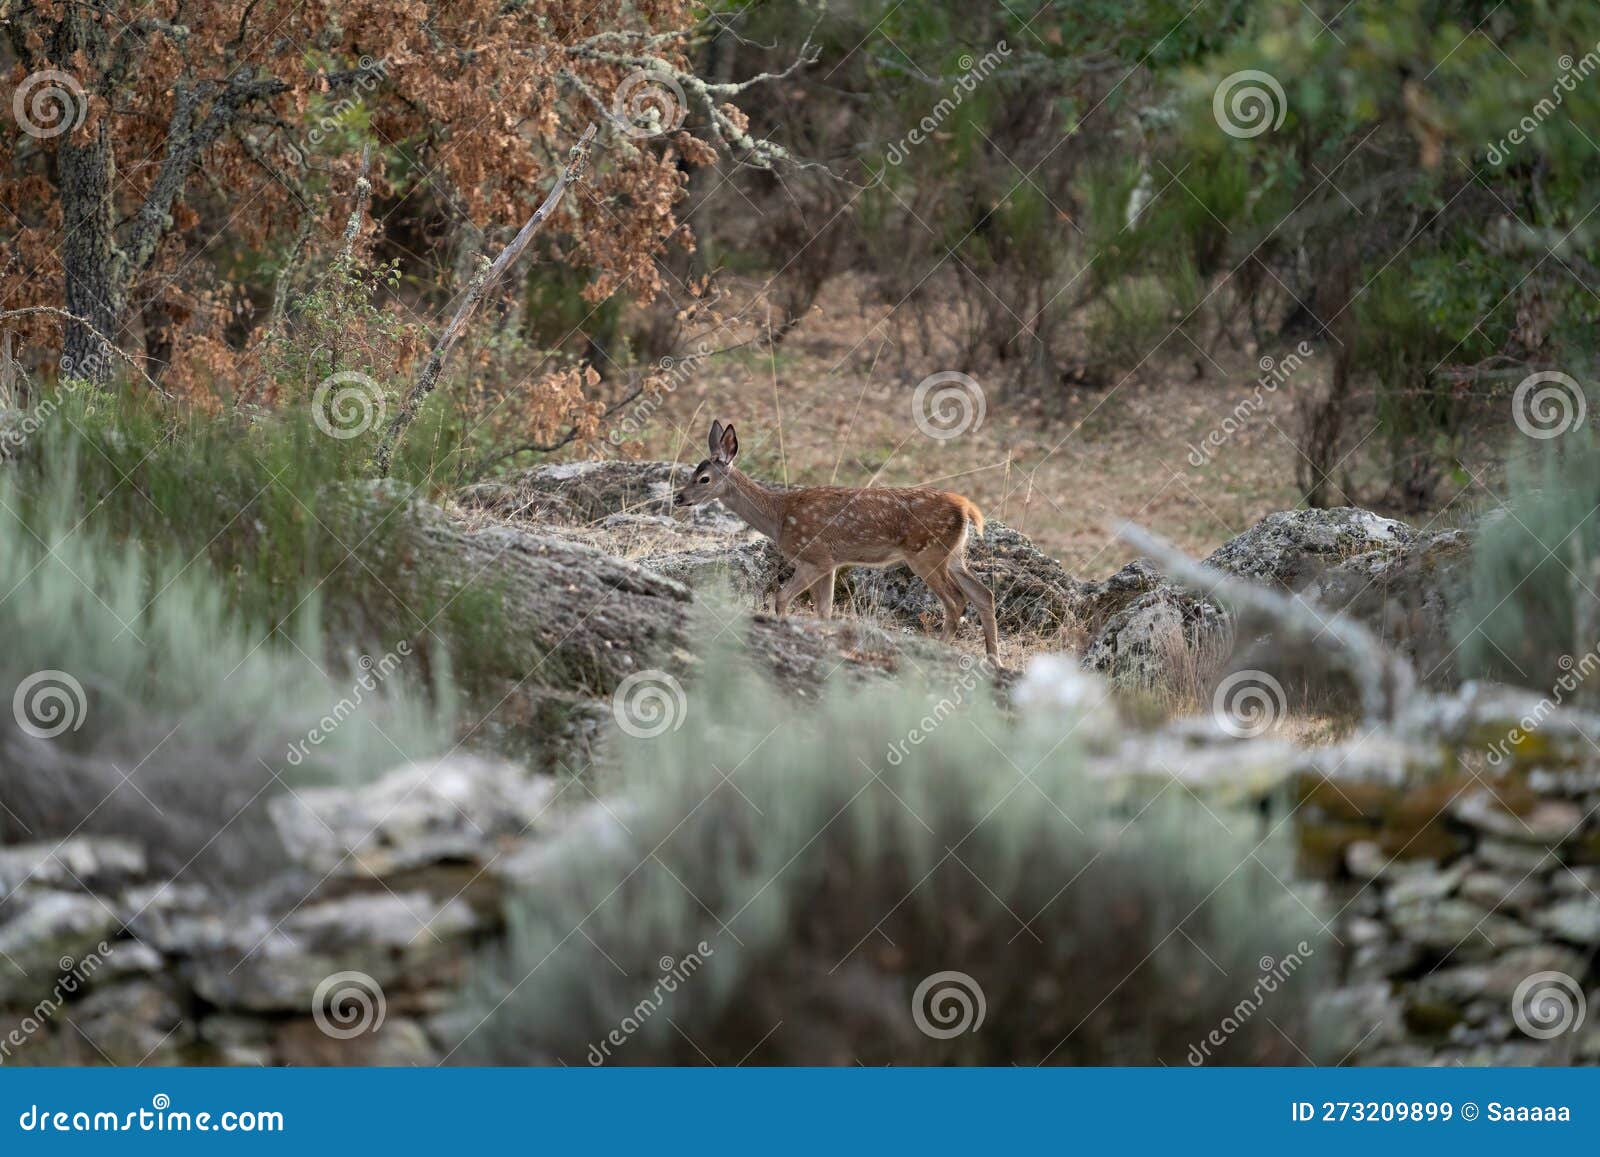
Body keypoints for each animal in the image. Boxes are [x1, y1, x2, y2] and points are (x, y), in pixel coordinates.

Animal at [673, 420, 999, 662]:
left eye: (704, 478)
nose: (678, 497)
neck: (779, 517)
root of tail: (966, 507)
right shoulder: (830, 563)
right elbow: (824, 611)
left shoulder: (815, 556)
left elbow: (782, 598)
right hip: (953, 554)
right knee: (983, 594)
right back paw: (993, 660)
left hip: (925, 554)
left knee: (956, 601)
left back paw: (941, 648)